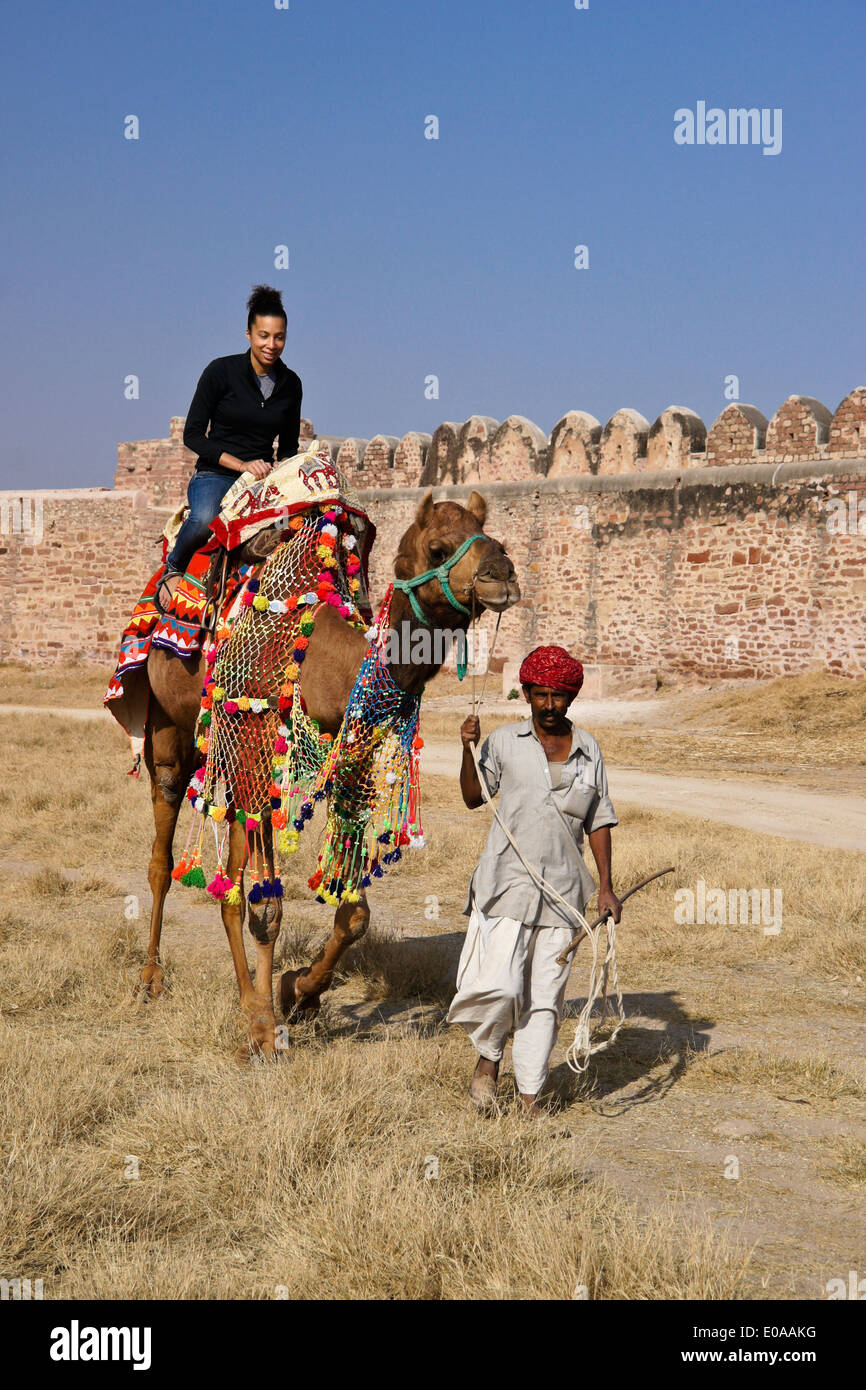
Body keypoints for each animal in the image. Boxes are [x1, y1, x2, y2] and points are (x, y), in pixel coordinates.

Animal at [137, 488, 520, 1058]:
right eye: (437, 546)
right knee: (165, 854)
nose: (504, 574)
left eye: (493, 538)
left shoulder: (353, 756)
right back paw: (151, 979)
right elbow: (265, 908)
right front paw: (263, 1025)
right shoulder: (259, 739)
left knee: (226, 870)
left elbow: (354, 914)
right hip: (171, 726)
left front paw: (299, 991)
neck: (327, 660)